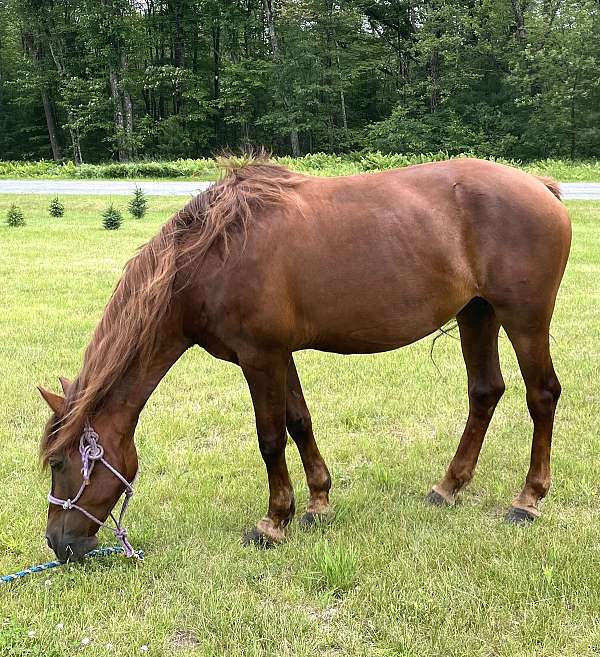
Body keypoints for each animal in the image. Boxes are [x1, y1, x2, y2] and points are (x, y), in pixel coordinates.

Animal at [39, 157, 571, 560]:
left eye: (61, 463)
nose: (60, 544)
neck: (212, 257)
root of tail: (540, 187)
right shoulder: (279, 355)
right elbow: (299, 422)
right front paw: (318, 502)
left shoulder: (259, 358)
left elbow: (270, 438)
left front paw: (274, 520)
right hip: (476, 314)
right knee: (485, 392)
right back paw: (448, 486)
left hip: (524, 320)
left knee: (542, 396)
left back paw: (528, 499)